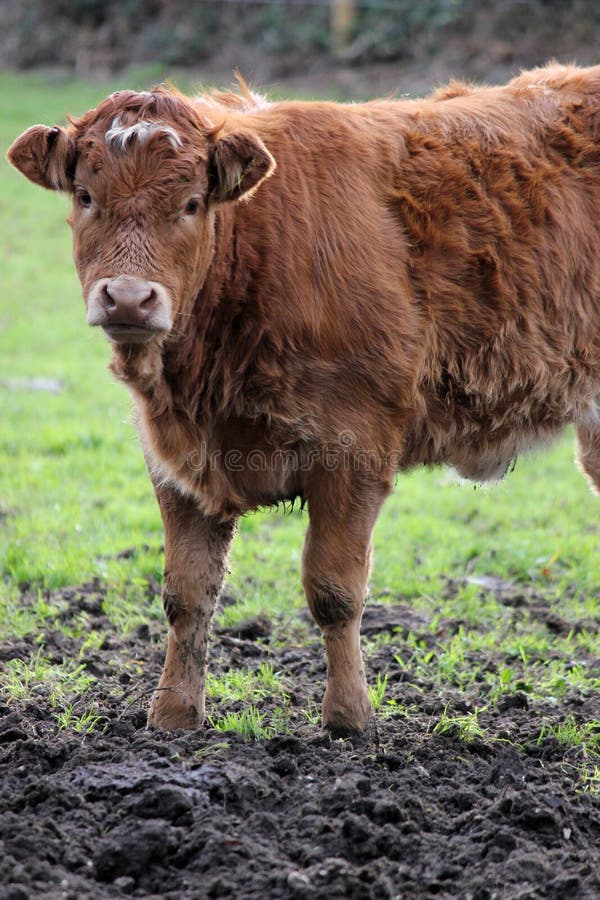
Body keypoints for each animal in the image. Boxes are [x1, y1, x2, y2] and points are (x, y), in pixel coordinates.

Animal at [8, 64, 600, 735]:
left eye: (191, 204)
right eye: (86, 198)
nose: (129, 298)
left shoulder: (354, 450)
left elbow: (333, 592)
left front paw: (348, 717)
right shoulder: (174, 464)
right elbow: (186, 595)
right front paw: (175, 713)